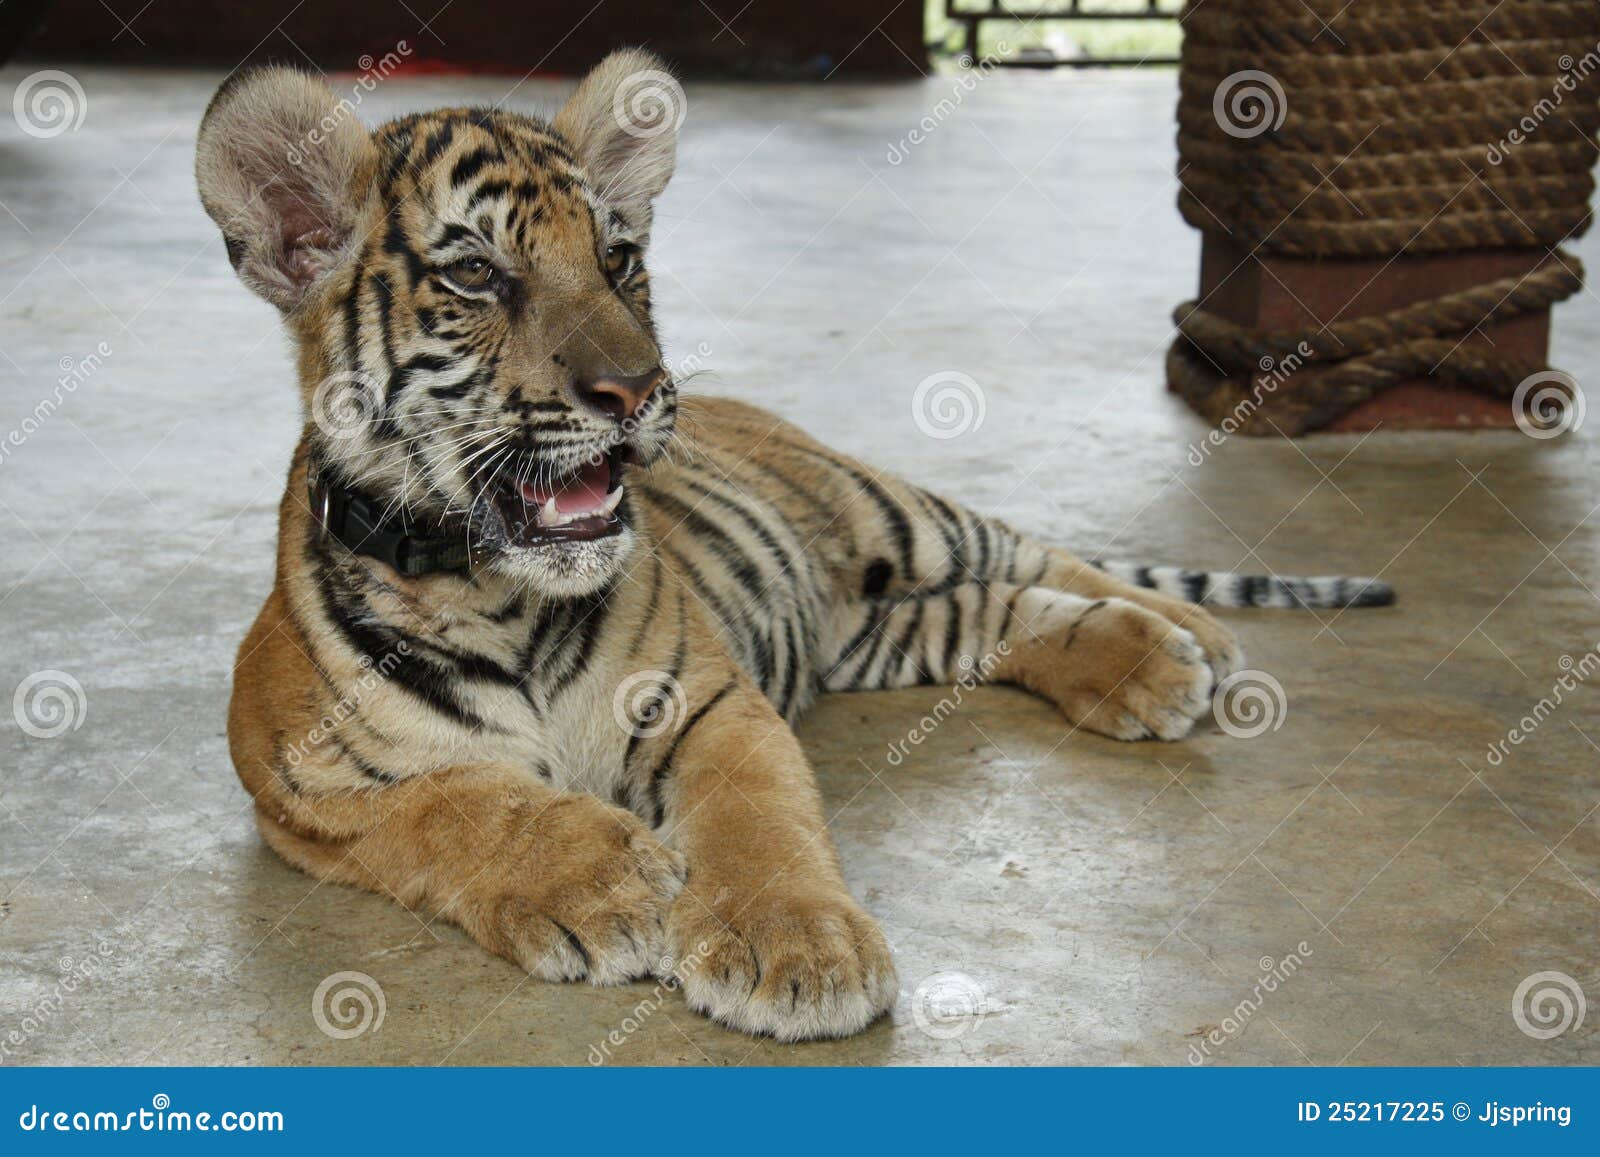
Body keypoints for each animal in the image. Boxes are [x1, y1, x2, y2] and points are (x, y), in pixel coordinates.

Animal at [195, 50, 1393, 1043]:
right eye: (478, 275)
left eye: (618, 257)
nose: (637, 386)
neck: (497, 593)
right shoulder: (291, 780)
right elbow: (458, 802)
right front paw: (605, 878)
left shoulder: (712, 700)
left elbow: (758, 815)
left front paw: (794, 950)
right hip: (878, 629)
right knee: (994, 613)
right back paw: (1140, 664)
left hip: (891, 510)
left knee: (1039, 554)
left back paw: (1192, 639)